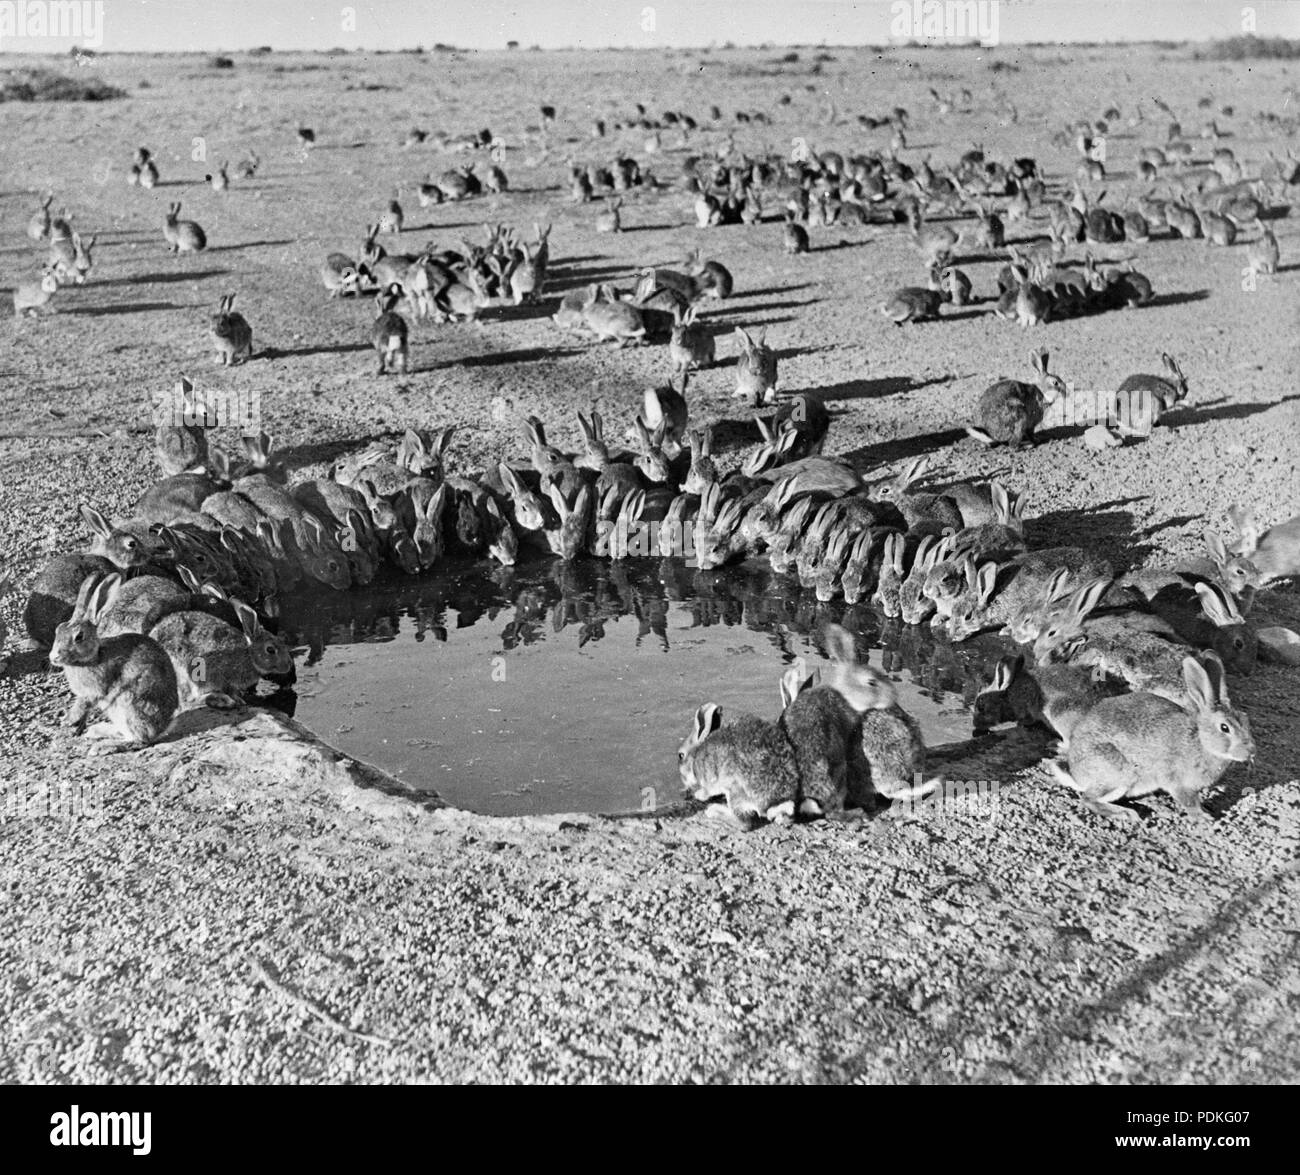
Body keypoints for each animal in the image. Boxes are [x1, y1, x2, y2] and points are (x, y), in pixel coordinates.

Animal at [49, 574, 179, 751]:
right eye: (57, 630)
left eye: (79, 637)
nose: (53, 657)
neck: (93, 657)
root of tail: (165, 725)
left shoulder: (93, 690)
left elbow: (82, 705)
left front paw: (68, 720)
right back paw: (98, 731)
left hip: (129, 704)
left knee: (141, 740)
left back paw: (103, 747)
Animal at [1047, 652, 1254, 822]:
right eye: (1225, 728)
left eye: (1246, 720)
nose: (1250, 751)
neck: (1201, 743)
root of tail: (1077, 774)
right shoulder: (1179, 783)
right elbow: (1190, 802)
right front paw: (1204, 817)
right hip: (1119, 773)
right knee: (1088, 799)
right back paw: (1126, 813)